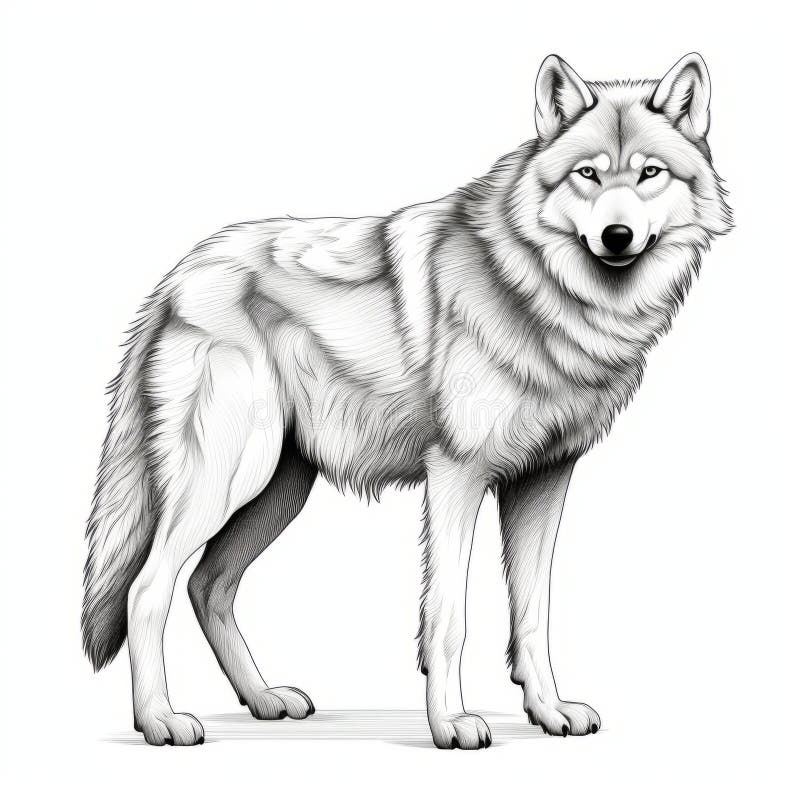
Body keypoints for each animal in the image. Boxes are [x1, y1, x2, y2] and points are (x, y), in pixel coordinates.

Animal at [82, 53, 731, 748]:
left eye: (649, 173)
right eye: (588, 174)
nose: (616, 234)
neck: (540, 292)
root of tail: (177, 276)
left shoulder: (543, 480)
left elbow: (533, 617)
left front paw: (550, 711)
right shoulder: (455, 475)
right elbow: (447, 618)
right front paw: (450, 724)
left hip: (277, 491)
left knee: (208, 586)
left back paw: (263, 699)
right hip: (228, 478)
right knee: (147, 591)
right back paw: (160, 721)